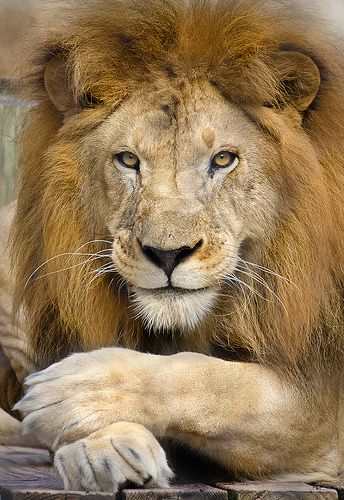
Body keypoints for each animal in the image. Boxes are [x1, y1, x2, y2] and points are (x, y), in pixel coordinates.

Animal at [0, 0, 344, 492]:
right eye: (128, 160)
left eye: (224, 159)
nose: (167, 255)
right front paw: (103, 446)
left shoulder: (322, 410)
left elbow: (218, 382)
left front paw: (71, 393)